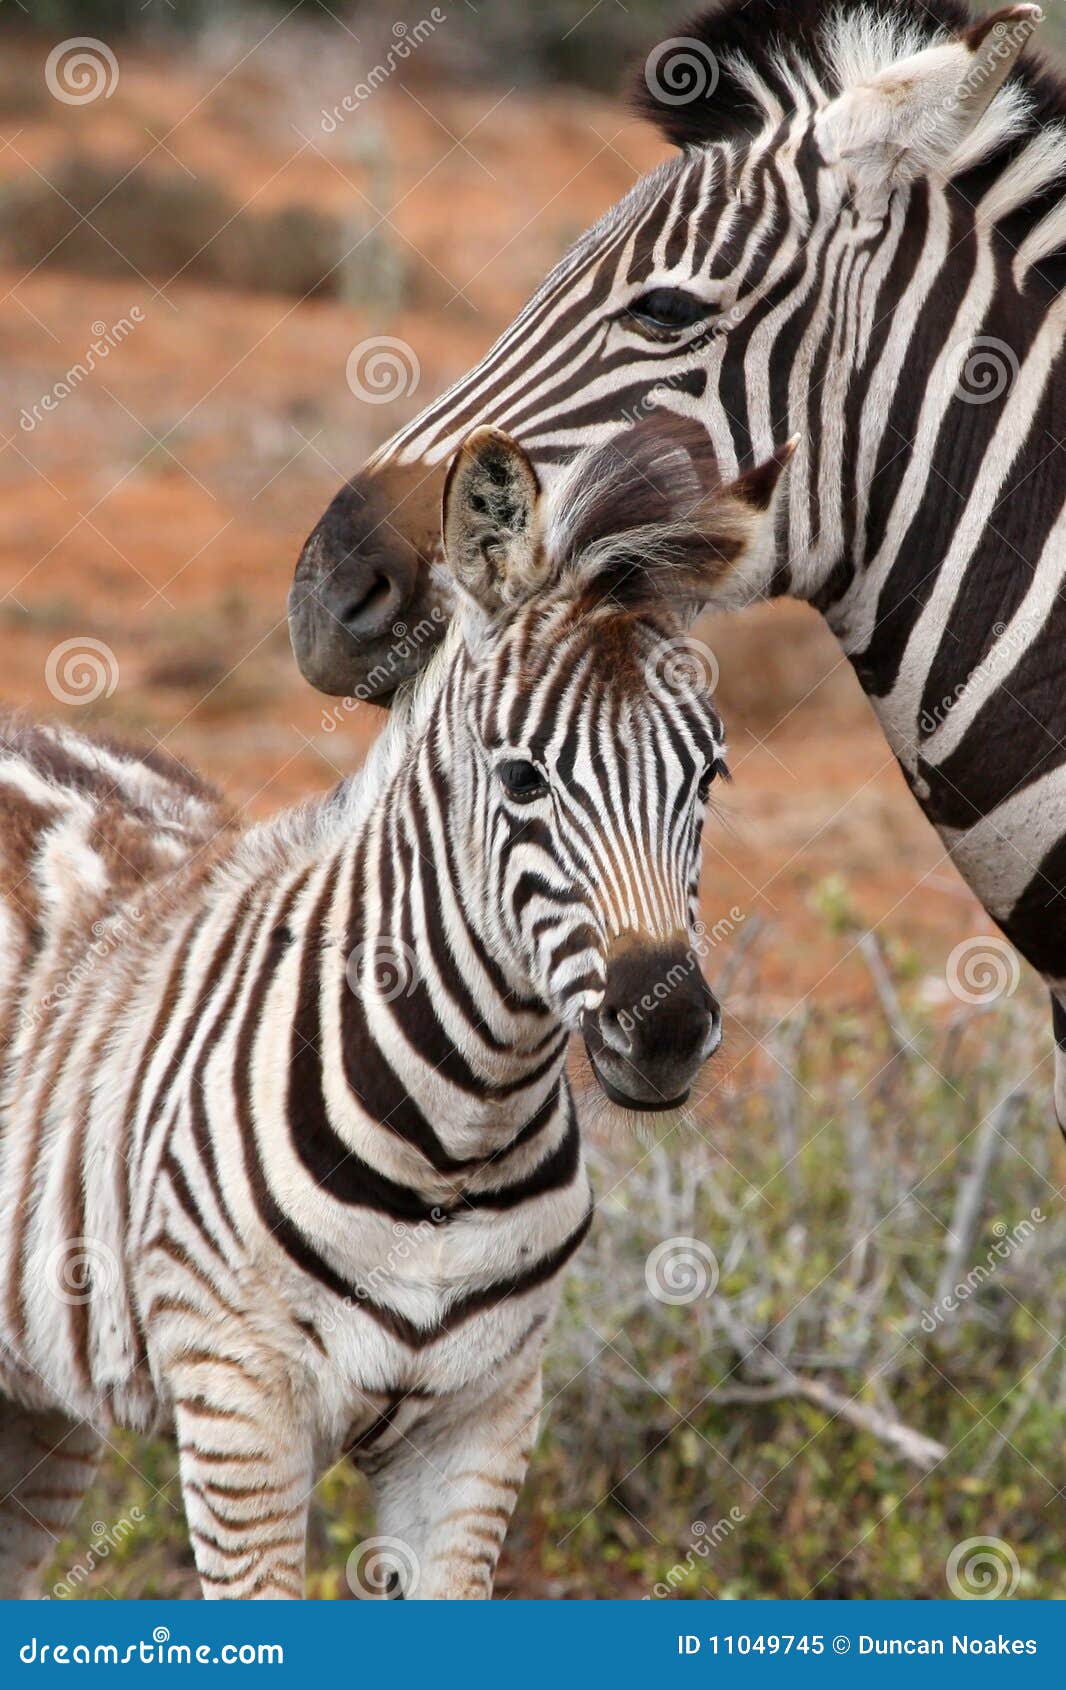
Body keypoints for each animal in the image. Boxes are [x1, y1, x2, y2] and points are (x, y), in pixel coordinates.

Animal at [0, 418, 787, 1599]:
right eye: (523, 781)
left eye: (710, 777)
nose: (665, 1030)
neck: (455, 1140)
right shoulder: (240, 1413)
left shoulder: (481, 1423)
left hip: (35, 1412)